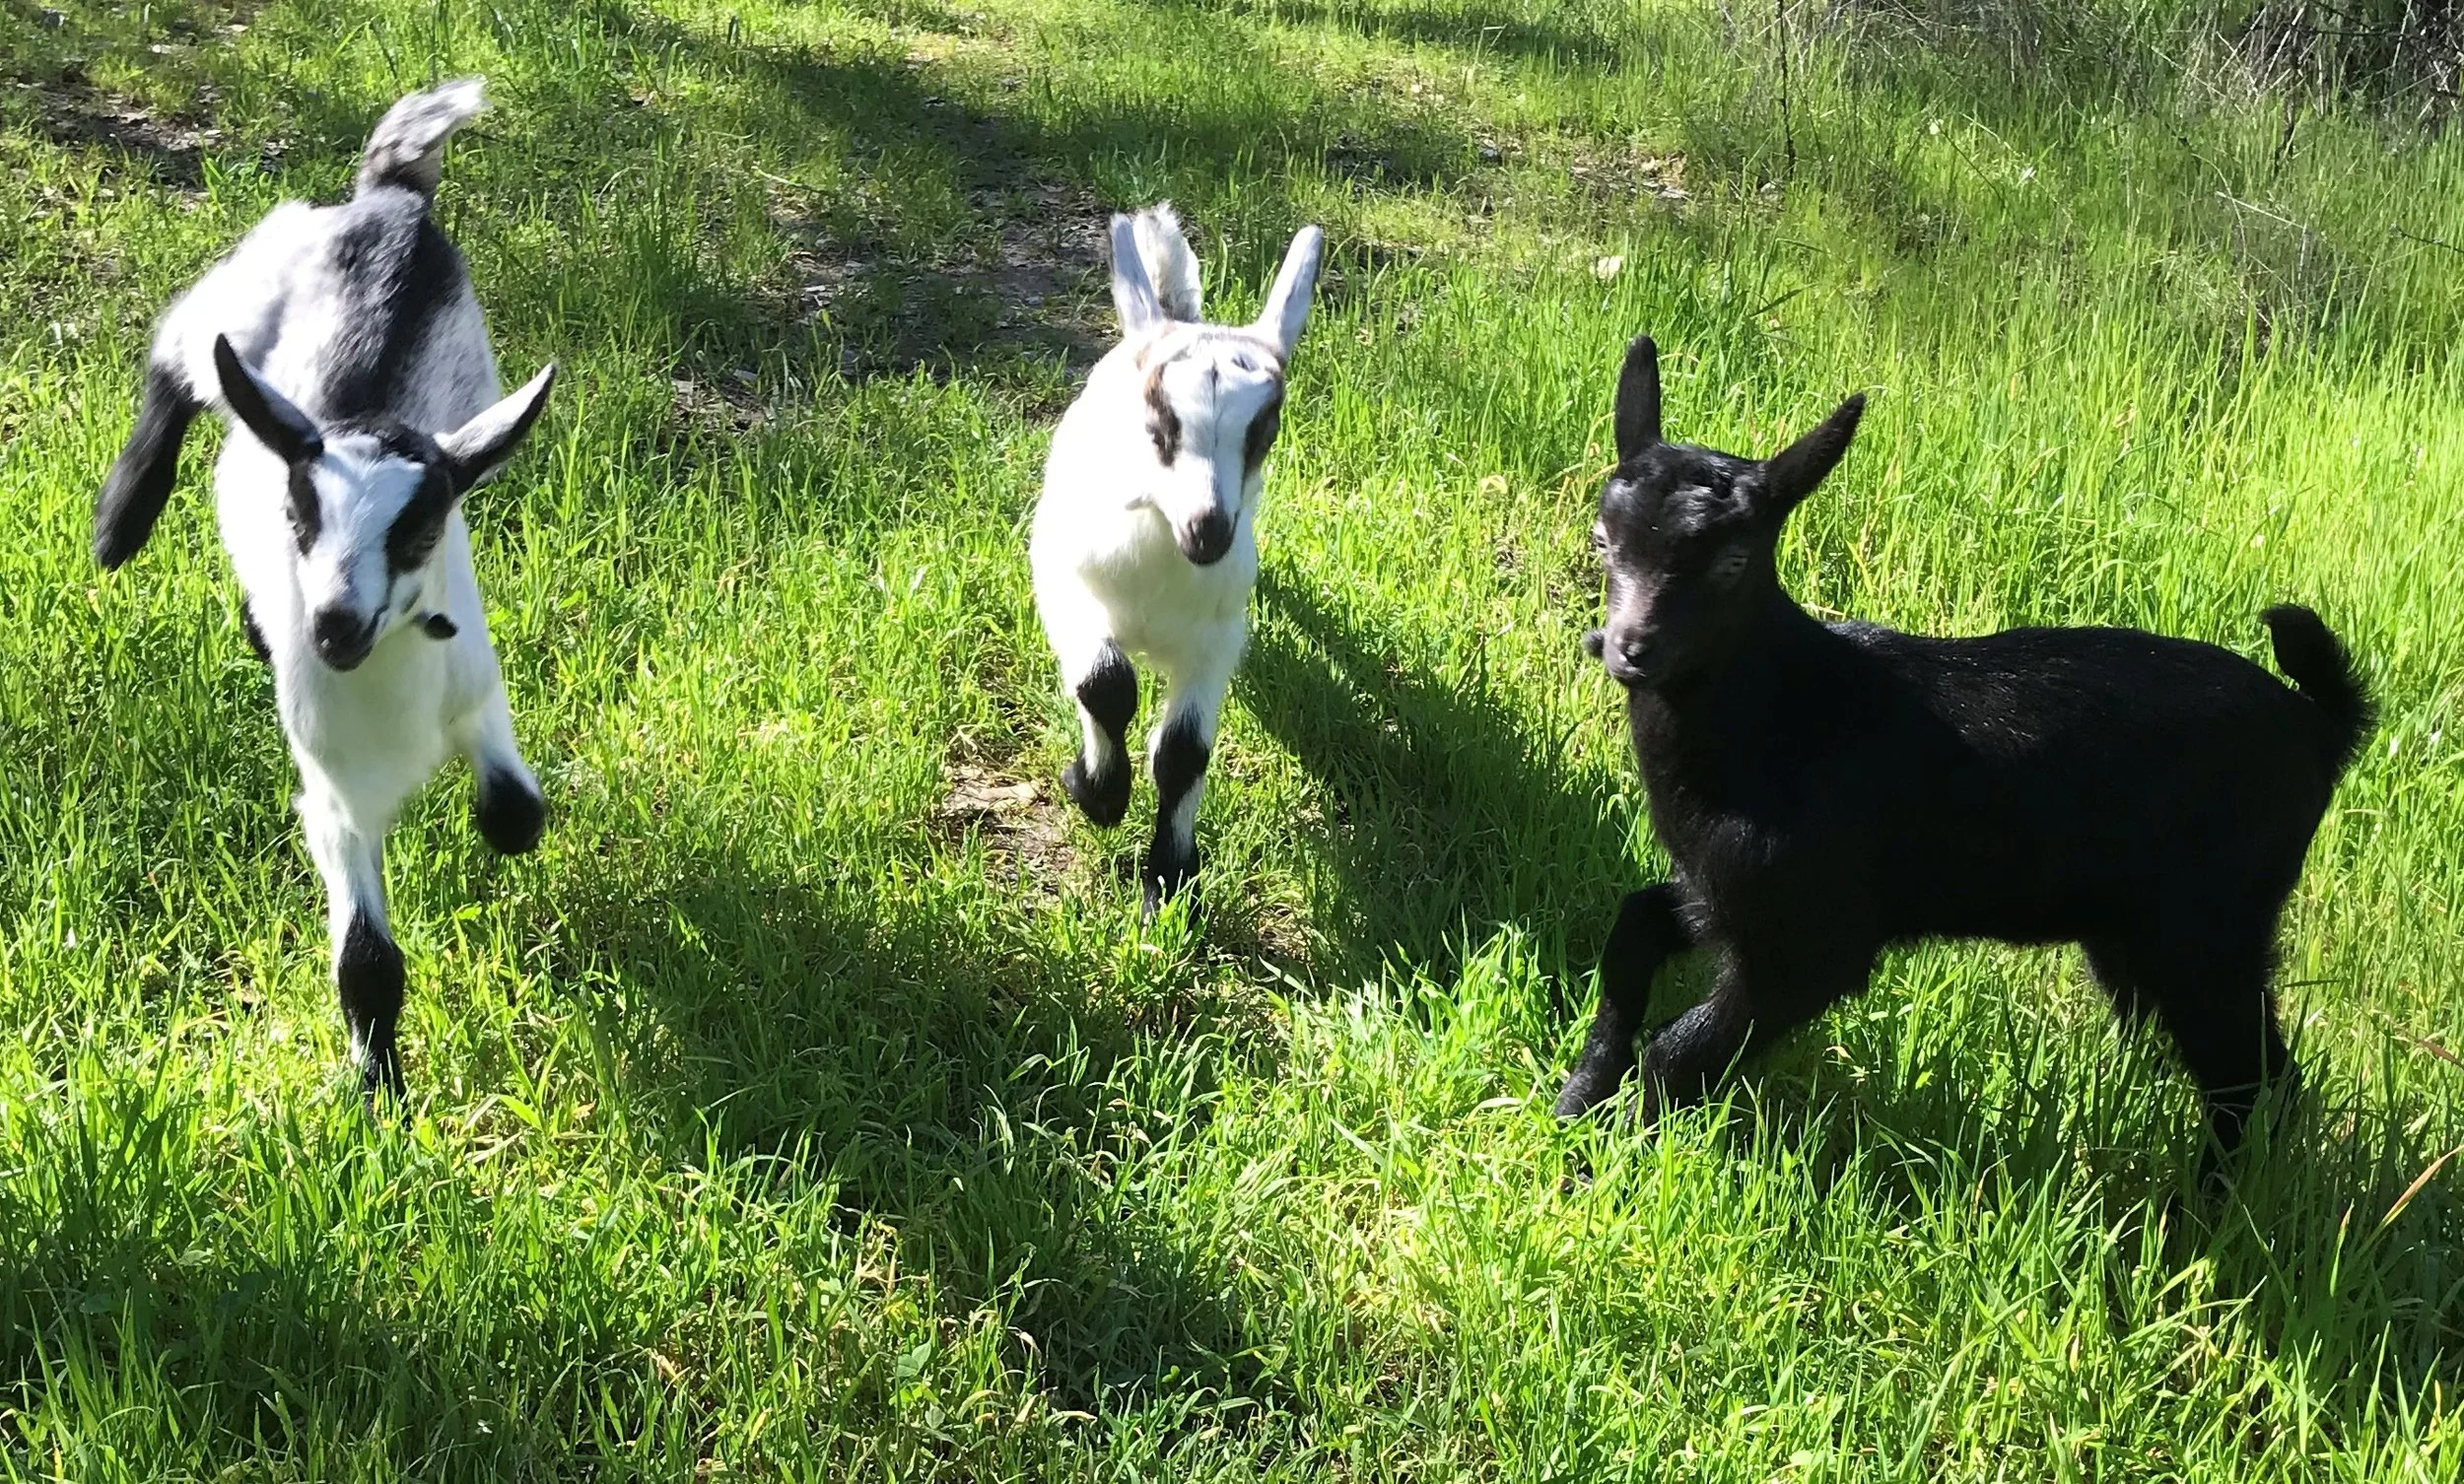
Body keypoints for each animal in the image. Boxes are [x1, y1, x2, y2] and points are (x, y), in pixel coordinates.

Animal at [92, 78, 555, 1098]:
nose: (335, 626)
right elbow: (368, 962)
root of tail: (389, 199)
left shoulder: (478, 683)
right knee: (178, 354)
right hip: (247, 285)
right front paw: (380, 1096)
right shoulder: (336, 795)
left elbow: (518, 818)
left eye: (417, 531)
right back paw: (119, 524)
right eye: (303, 516)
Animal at [1030, 204, 1325, 915]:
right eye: (1159, 424)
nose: (1207, 530)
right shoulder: (1063, 585)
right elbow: (1105, 685)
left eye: (1264, 429)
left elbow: (1184, 752)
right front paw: (1096, 794)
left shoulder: (1217, 638)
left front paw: (1168, 877)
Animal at [1556, 336, 2370, 1161]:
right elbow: (1631, 937)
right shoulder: (1722, 894)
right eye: (1603, 541)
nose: (1629, 650)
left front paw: (1601, 1160)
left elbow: (1677, 1052)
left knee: (2251, 1080)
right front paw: (1575, 1103)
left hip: (2212, 920)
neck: (1786, 712)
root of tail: (2321, 724)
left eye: (1731, 563)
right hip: (2141, 927)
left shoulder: (1812, 932)